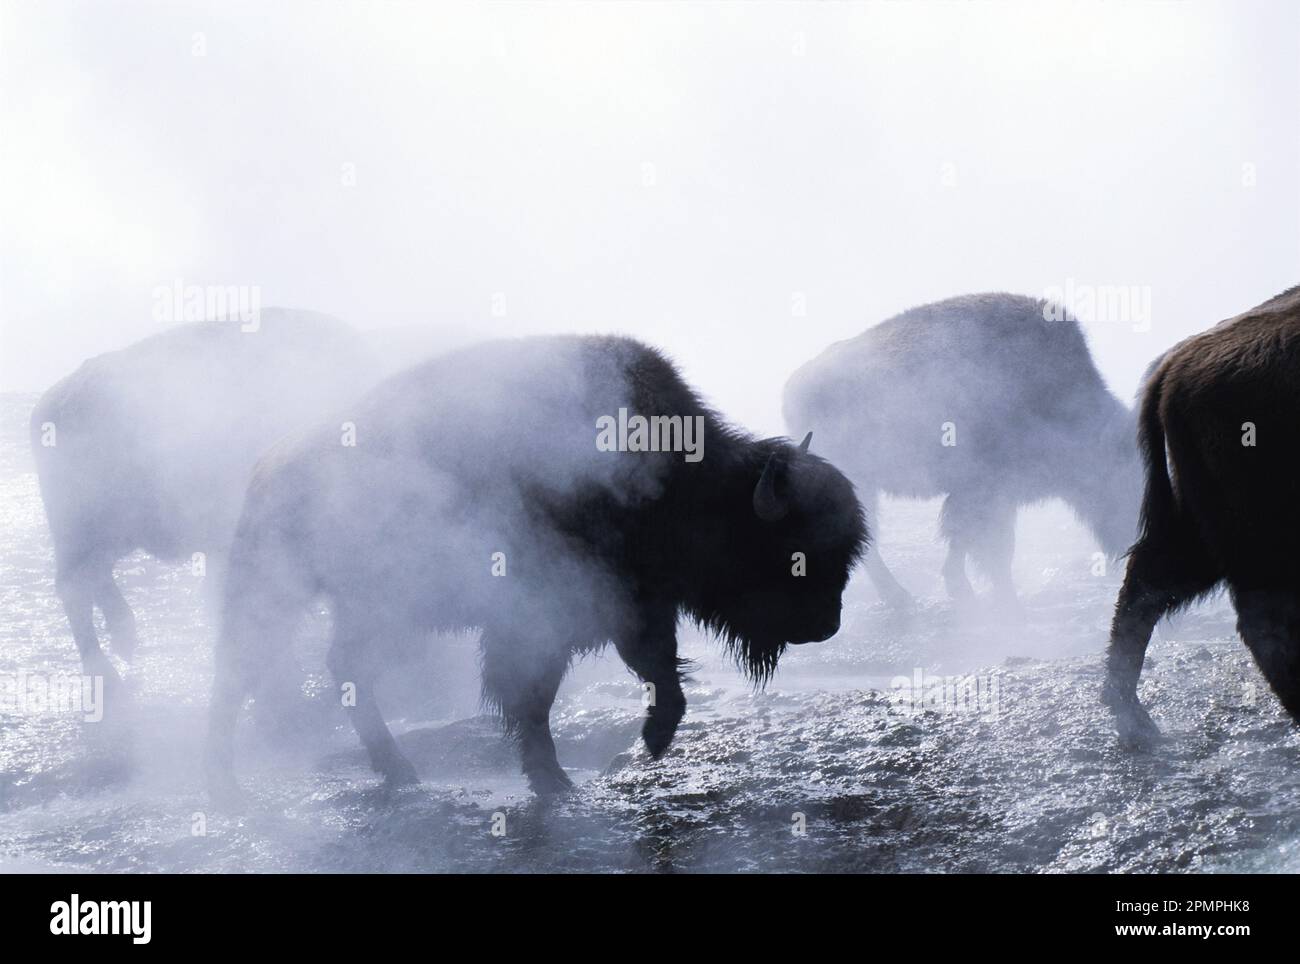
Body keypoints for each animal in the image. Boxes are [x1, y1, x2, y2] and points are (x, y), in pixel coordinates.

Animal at [30, 309, 374, 685]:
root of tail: (49, 405)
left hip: (110, 535)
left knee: (95, 579)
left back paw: (124, 639)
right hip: (81, 531)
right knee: (74, 587)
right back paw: (105, 666)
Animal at [205, 335, 867, 796]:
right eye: (790, 552)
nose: (828, 625)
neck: (679, 480)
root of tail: (269, 466)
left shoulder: (633, 609)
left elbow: (654, 679)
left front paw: (641, 748)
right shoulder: (546, 619)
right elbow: (532, 696)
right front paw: (556, 779)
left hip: (376, 609)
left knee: (344, 669)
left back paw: (397, 771)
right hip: (275, 594)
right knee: (240, 675)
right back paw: (226, 782)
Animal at [784, 293, 1141, 608]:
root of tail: (794, 387)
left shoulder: (984, 495)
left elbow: (965, 541)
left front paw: (965, 590)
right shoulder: (988, 492)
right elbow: (991, 549)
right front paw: (1002, 600)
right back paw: (900, 599)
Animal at [1104, 284, 1300, 738]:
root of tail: (1175, 363)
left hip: (1203, 526)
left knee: (1148, 585)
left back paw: (1134, 719)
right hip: (1256, 528)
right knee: (1263, 618)